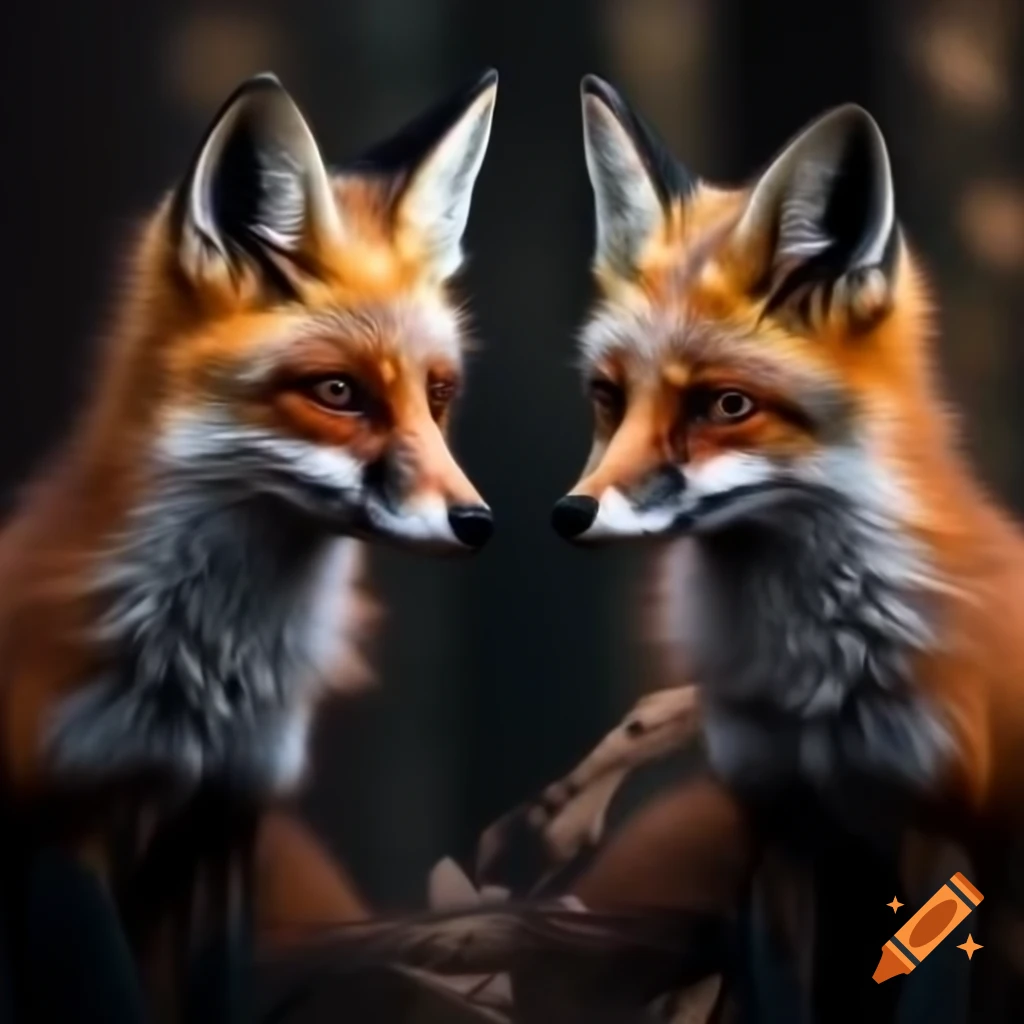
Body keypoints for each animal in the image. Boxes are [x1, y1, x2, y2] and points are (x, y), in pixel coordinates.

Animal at [0, 69, 498, 1021]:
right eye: (338, 393)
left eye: (438, 395)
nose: (476, 522)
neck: (203, 682)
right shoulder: (60, 828)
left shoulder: (230, 821)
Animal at [544, 74, 1024, 1021]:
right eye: (609, 397)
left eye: (726, 406)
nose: (570, 515)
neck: (816, 685)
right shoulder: (778, 833)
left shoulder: (940, 833)